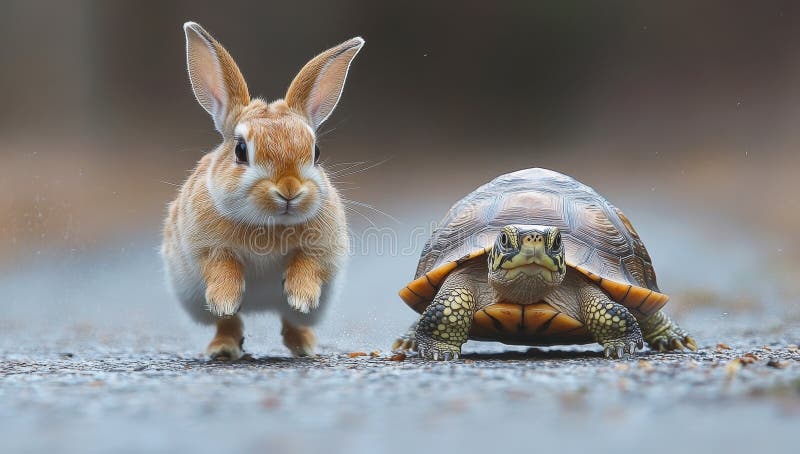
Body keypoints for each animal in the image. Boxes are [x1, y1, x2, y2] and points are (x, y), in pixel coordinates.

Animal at [161, 21, 363, 360]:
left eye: (316, 152)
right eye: (241, 150)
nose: (289, 189)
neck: (269, 225)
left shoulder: (321, 249)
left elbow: (307, 264)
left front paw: (302, 297)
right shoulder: (207, 249)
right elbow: (222, 267)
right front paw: (225, 300)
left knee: (290, 320)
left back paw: (305, 346)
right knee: (230, 323)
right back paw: (223, 348)